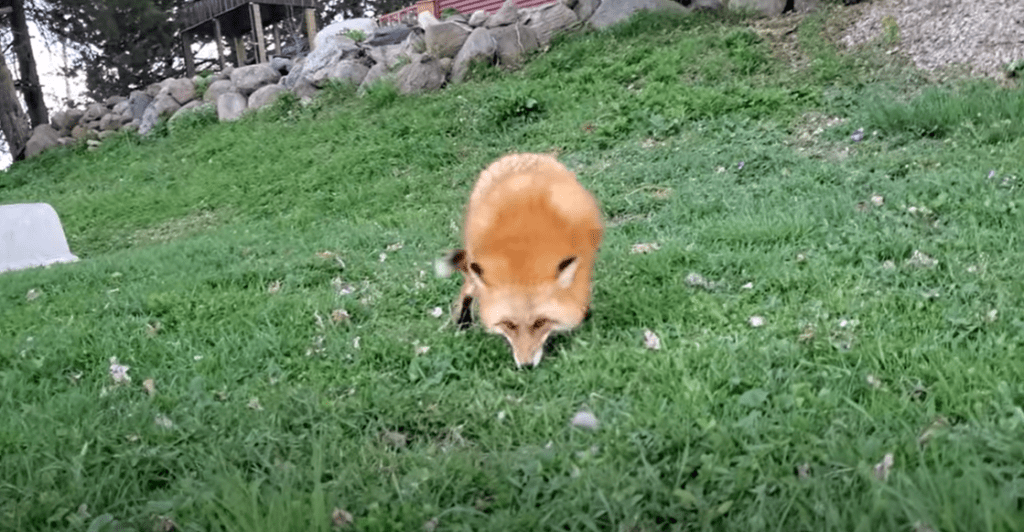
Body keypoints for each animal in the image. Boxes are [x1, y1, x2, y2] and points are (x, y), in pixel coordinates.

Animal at [436, 153, 604, 368]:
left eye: (541, 322)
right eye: (509, 324)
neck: (523, 254)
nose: (526, 366)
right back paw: (463, 322)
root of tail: (519, 155)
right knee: (468, 286)